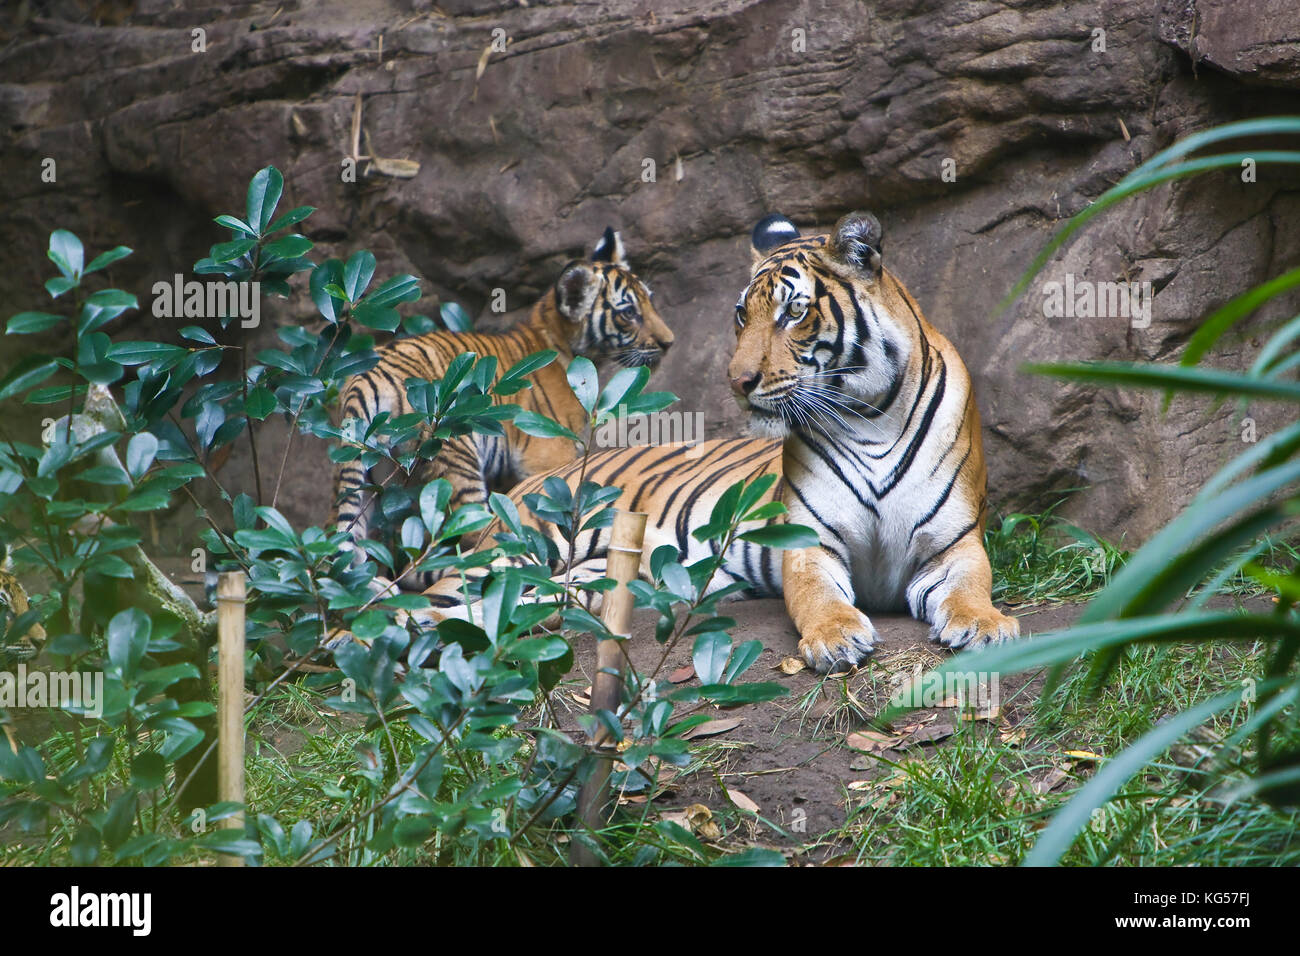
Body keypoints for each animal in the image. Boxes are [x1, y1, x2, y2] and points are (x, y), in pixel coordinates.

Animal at [330, 227, 675, 588]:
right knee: (472, 535)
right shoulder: (549, 453)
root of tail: (370, 375)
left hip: (366, 474)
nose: (669, 342)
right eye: (629, 313)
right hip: (455, 454)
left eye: (650, 301)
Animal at [411, 211, 1019, 673]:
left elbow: (972, 585)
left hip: (565, 582)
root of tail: (524, 486)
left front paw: (986, 627)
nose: (736, 380)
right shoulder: (810, 544)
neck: (873, 417)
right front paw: (836, 637)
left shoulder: (955, 543)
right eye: (742, 314)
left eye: (794, 311)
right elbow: (817, 596)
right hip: (516, 549)